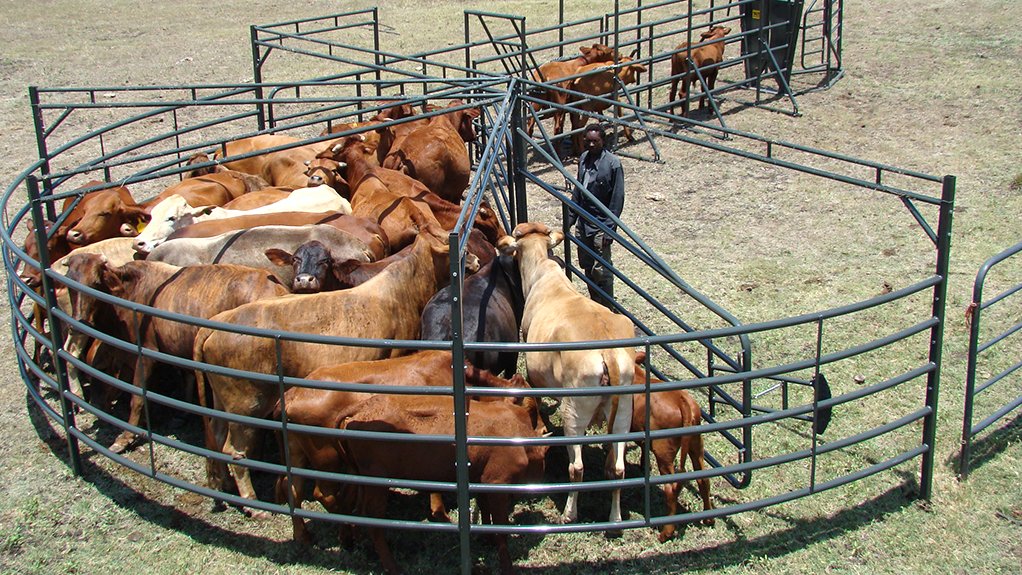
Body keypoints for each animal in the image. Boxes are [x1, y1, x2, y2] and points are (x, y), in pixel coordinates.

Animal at [64, 254, 290, 452]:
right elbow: (186, 378)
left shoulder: (147, 351)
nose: (77, 324)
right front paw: (180, 414)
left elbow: (137, 396)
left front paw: (126, 437)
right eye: (69, 285)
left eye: (95, 283)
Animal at [192, 223, 478, 513]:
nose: (476, 260)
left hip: (222, 401)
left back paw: (221, 487)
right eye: (448, 242)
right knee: (234, 449)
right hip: (247, 404)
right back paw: (253, 503)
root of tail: (217, 323)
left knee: (217, 436)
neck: (403, 289)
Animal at [497, 221, 635, 528]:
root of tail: (608, 354)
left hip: (575, 412)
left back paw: (569, 514)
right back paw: (616, 519)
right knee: (618, 468)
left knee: (578, 468)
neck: (542, 272)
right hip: (623, 413)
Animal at [629, 351, 713, 542]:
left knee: (671, 488)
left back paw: (665, 533)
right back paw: (709, 518)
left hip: (664, 452)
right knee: (703, 479)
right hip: (696, 444)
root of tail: (682, 401)